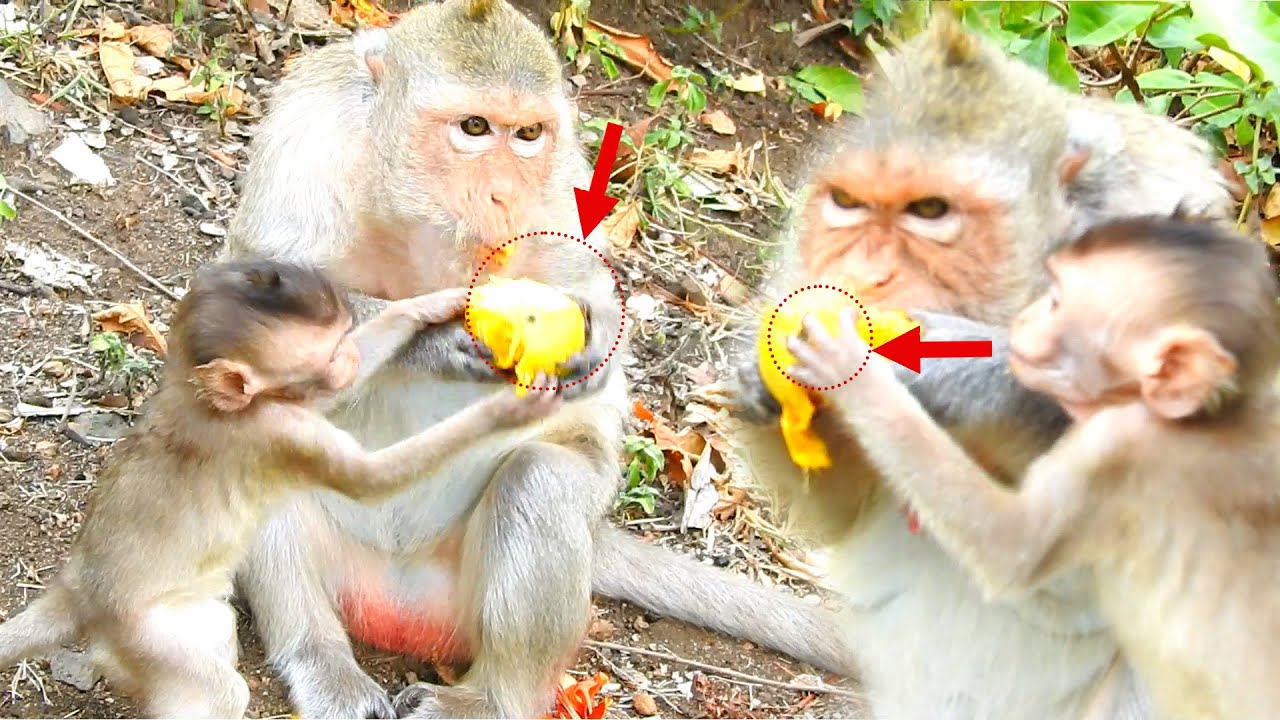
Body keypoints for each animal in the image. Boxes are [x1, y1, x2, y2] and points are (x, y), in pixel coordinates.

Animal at [0, 261, 562, 719]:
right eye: (327, 356)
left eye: (340, 345)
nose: (345, 358)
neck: (199, 393)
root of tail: (78, 586)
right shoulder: (275, 431)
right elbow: (368, 478)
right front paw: (510, 410)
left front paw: (427, 305)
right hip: (142, 630)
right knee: (217, 691)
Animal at [221, 1, 856, 717]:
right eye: (473, 128)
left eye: (528, 134)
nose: (506, 197)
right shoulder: (308, 130)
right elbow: (245, 290)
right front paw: (432, 340)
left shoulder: (564, 182)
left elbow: (593, 313)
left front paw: (588, 342)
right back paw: (324, 663)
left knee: (541, 481)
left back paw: (490, 699)